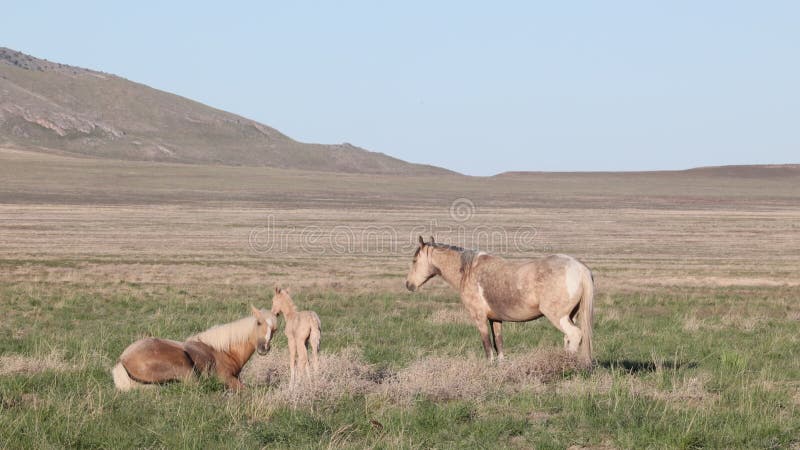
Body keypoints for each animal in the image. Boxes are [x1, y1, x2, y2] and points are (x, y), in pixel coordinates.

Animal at [111, 306, 278, 391]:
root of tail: (122, 360)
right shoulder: (227, 378)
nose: (264, 348)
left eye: (275, 329)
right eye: (258, 323)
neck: (223, 351)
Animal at [405, 236, 594, 365]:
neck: (469, 271)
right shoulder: (495, 319)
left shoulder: (479, 318)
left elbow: (487, 346)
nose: (408, 284)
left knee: (574, 335)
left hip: (558, 317)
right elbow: (499, 344)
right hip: (571, 316)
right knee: (568, 338)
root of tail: (579, 268)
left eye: (414, 260)